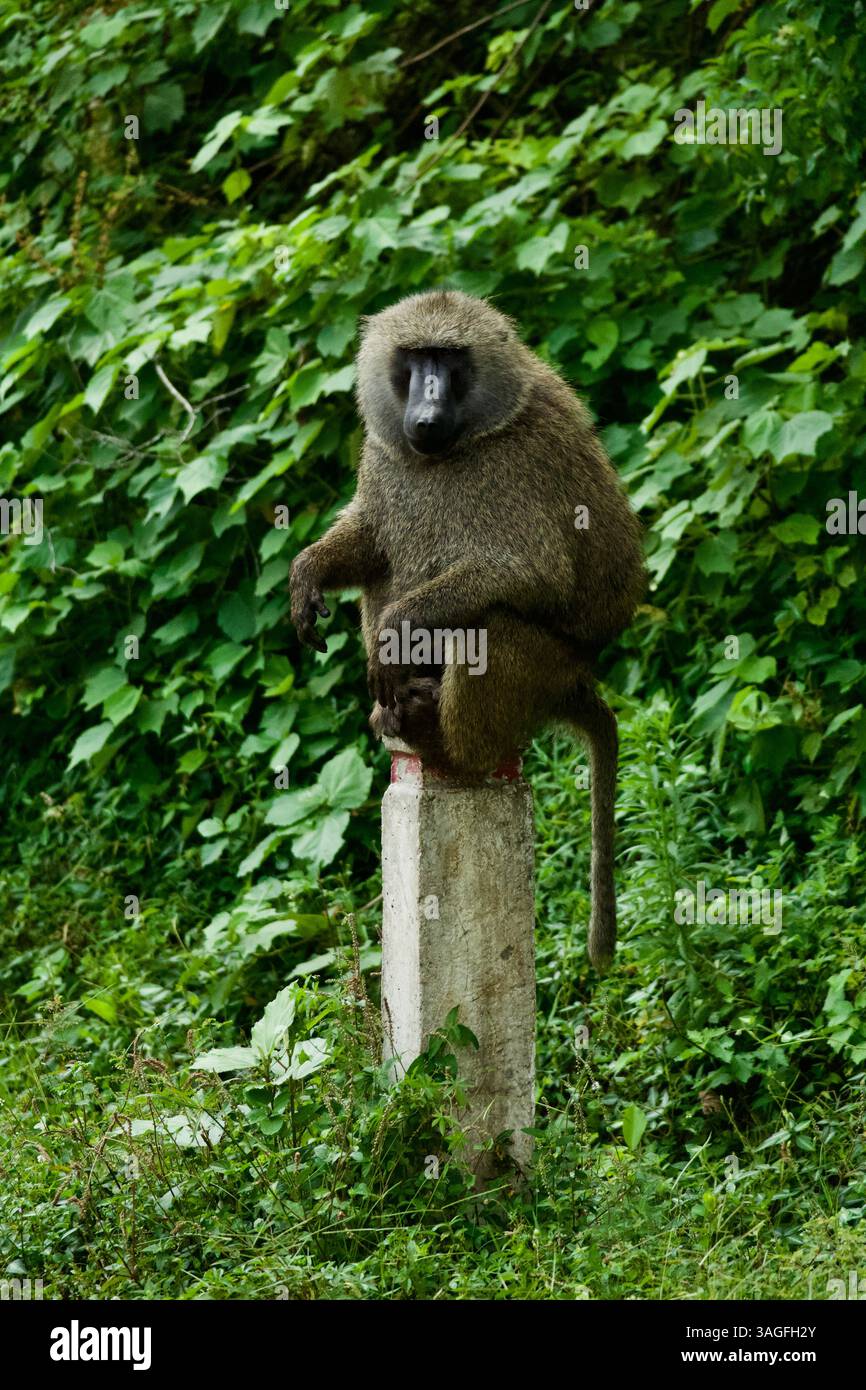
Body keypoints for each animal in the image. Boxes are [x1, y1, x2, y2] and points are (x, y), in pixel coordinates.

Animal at [290, 290, 645, 969]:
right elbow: (370, 538)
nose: (426, 410)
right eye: (415, 357)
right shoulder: (385, 455)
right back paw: (405, 710)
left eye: (451, 360)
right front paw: (308, 571)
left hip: (550, 665)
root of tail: (579, 679)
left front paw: (393, 634)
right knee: (387, 567)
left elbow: (532, 573)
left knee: (492, 629)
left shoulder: (520, 462)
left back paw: (445, 742)